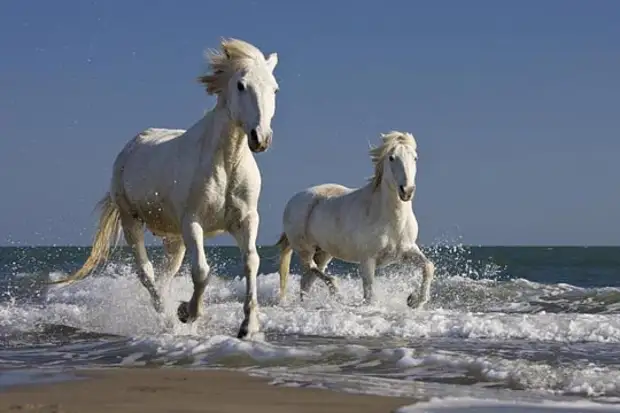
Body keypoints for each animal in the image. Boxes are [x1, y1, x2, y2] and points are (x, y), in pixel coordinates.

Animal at [276, 130, 436, 308]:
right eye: (392, 158)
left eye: (415, 158)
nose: (407, 191)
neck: (391, 220)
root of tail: (293, 200)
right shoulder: (367, 260)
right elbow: (369, 294)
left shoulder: (407, 251)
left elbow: (428, 266)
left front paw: (414, 300)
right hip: (305, 249)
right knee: (312, 269)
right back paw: (336, 292)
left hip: (324, 253)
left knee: (307, 281)